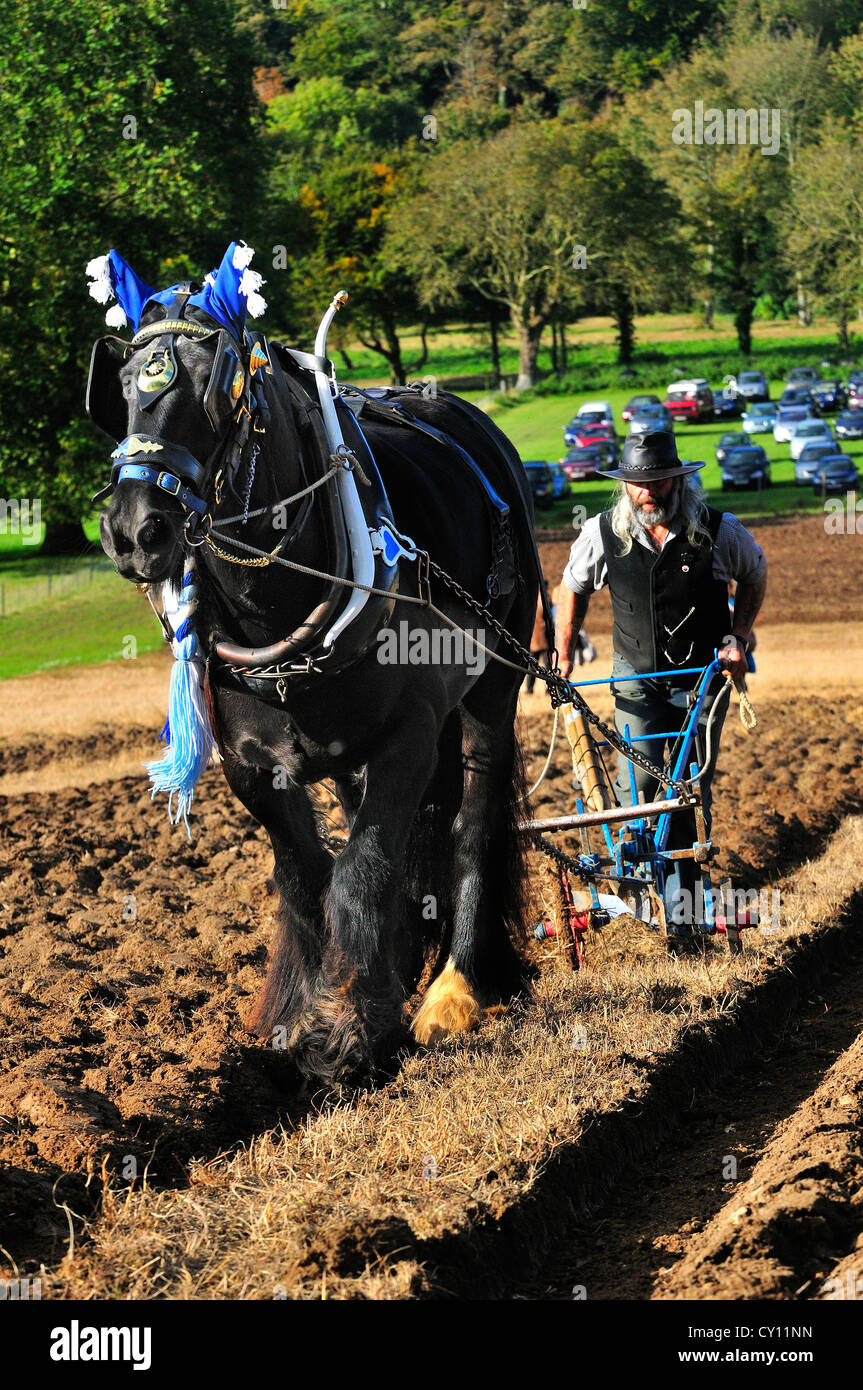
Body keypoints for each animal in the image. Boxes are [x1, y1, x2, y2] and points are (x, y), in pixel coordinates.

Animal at [88, 244, 545, 1085]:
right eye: (124, 385)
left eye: (220, 391)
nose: (135, 530)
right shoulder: (252, 766)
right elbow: (305, 878)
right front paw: (302, 1015)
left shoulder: (407, 736)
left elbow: (362, 871)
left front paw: (354, 1032)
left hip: (492, 685)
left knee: (470, 817)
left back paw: (454, 985)